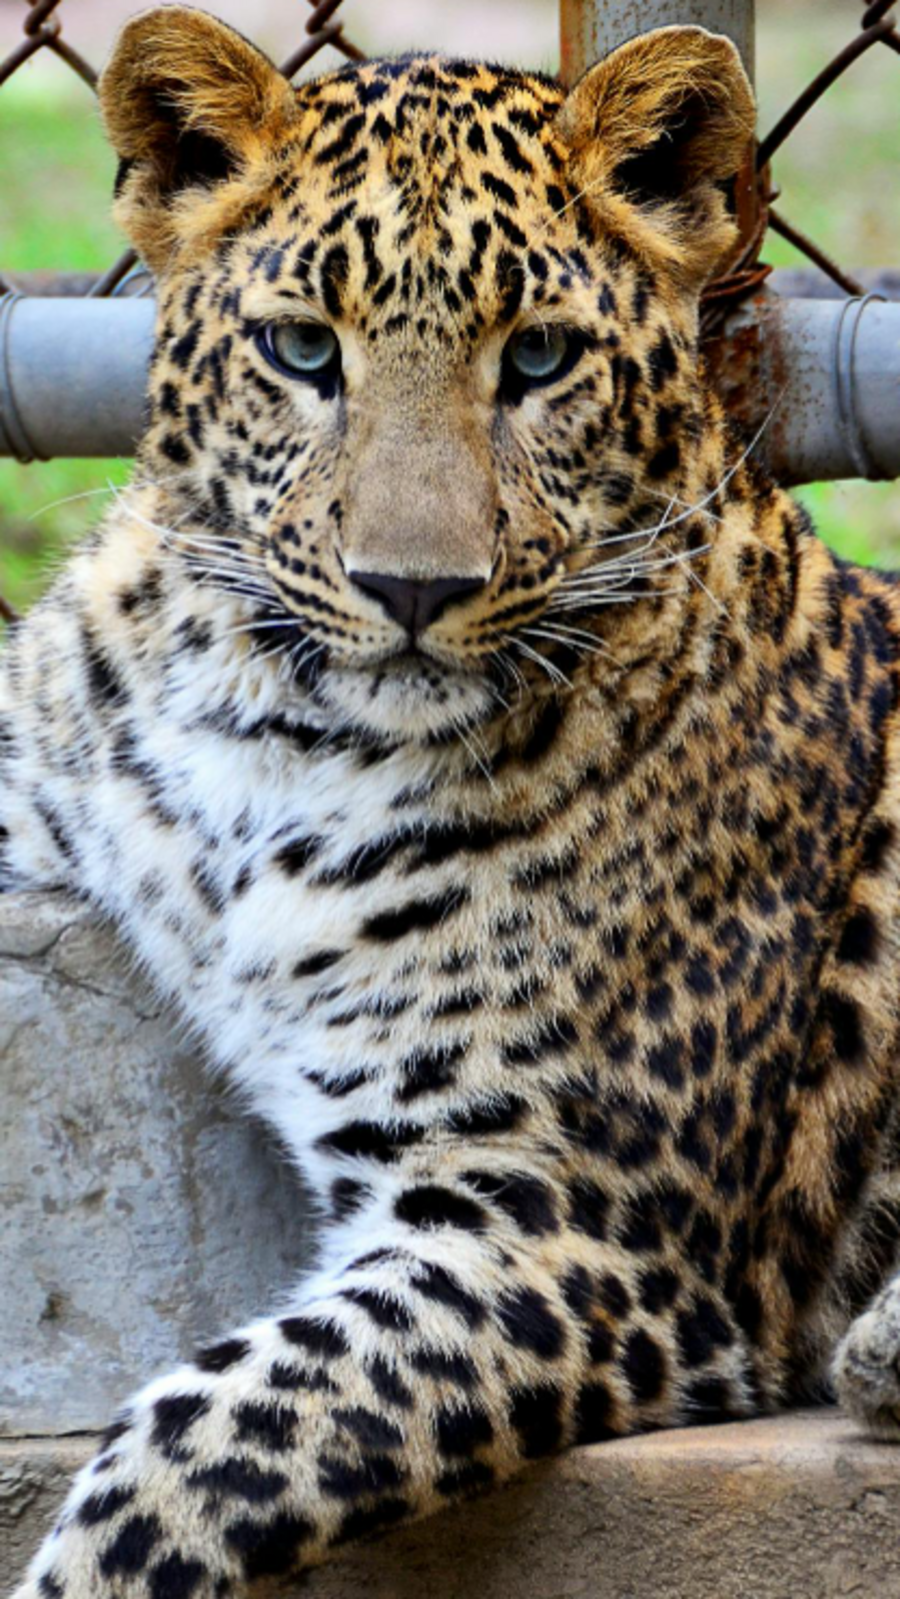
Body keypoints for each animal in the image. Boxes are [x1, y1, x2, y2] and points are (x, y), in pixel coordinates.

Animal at [4, 7, 900, 1596]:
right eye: (303, 349)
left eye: (538, 358)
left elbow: (190, 1449)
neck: (274, 736)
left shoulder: (560, 1233)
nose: (411, 591)